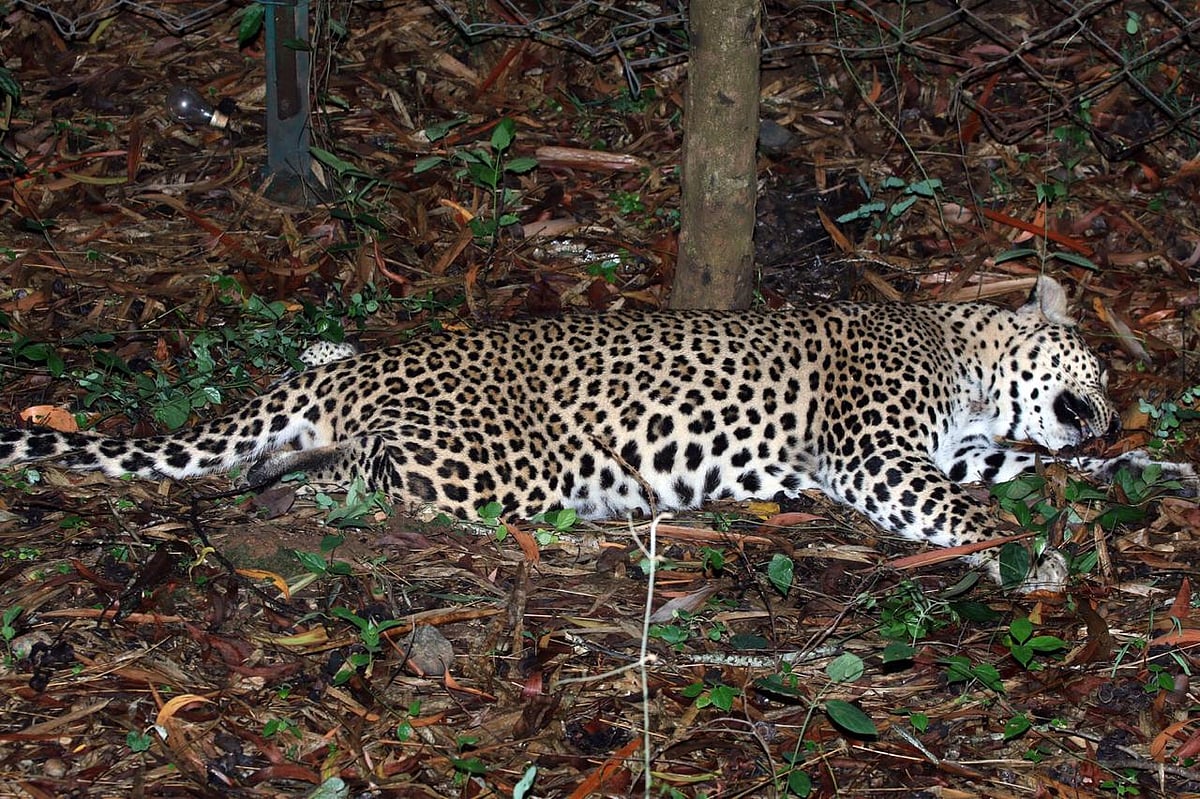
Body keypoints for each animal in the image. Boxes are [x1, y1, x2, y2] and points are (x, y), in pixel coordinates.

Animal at [1, 277, 1194, 589]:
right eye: (1099, 366)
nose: (1117, 406)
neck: (963, 355)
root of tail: (382, 363)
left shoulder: (952, 445)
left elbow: (1010, 467)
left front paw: (1159, 464)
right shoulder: (871, 456)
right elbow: (963, 502)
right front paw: (1033, 556)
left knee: (318, 402)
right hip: (501, 470)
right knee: (372, 479)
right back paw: (285, 478)